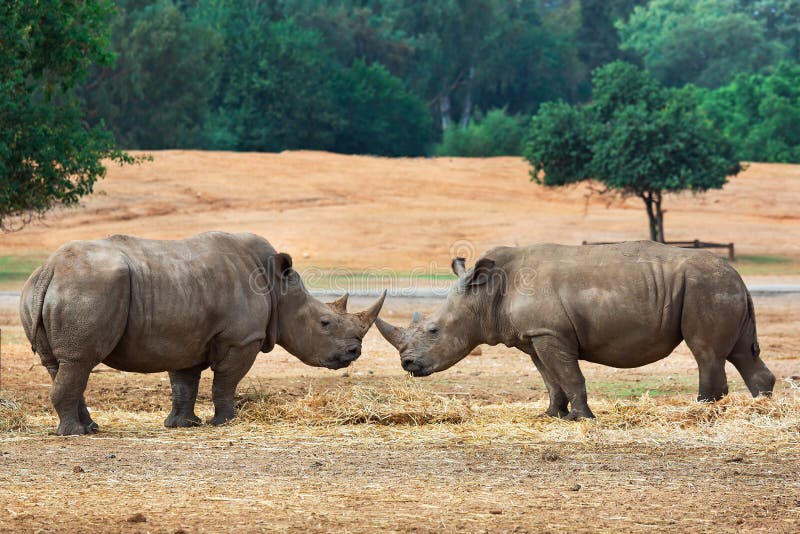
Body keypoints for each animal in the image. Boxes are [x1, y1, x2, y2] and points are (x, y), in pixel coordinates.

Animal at [20, 231, 385, 435]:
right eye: (324, 323)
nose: (354, 353)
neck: (279, 289)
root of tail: (49, 269)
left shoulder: (184, 337)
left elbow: (185, 384)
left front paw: (184, 425)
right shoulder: (242, 338)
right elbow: (226, 382)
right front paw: (226, 422)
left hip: (48, 288)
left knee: (62, 365)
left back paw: (89, 429)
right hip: (88, 287)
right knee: (78, 361)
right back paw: (74, 434)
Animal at [376, 241, 775, 420]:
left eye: (433, 330)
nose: (407, 365)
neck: (485, 297)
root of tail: (741, 278)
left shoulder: (550, 334)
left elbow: (570, 375)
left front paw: (582, 418)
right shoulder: (535, 336)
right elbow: (551, 378)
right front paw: (552, 415)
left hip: (705, 286)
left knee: (705, 352)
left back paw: (702, 410)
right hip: (719, 287)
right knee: (740, 352)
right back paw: (761, 407)